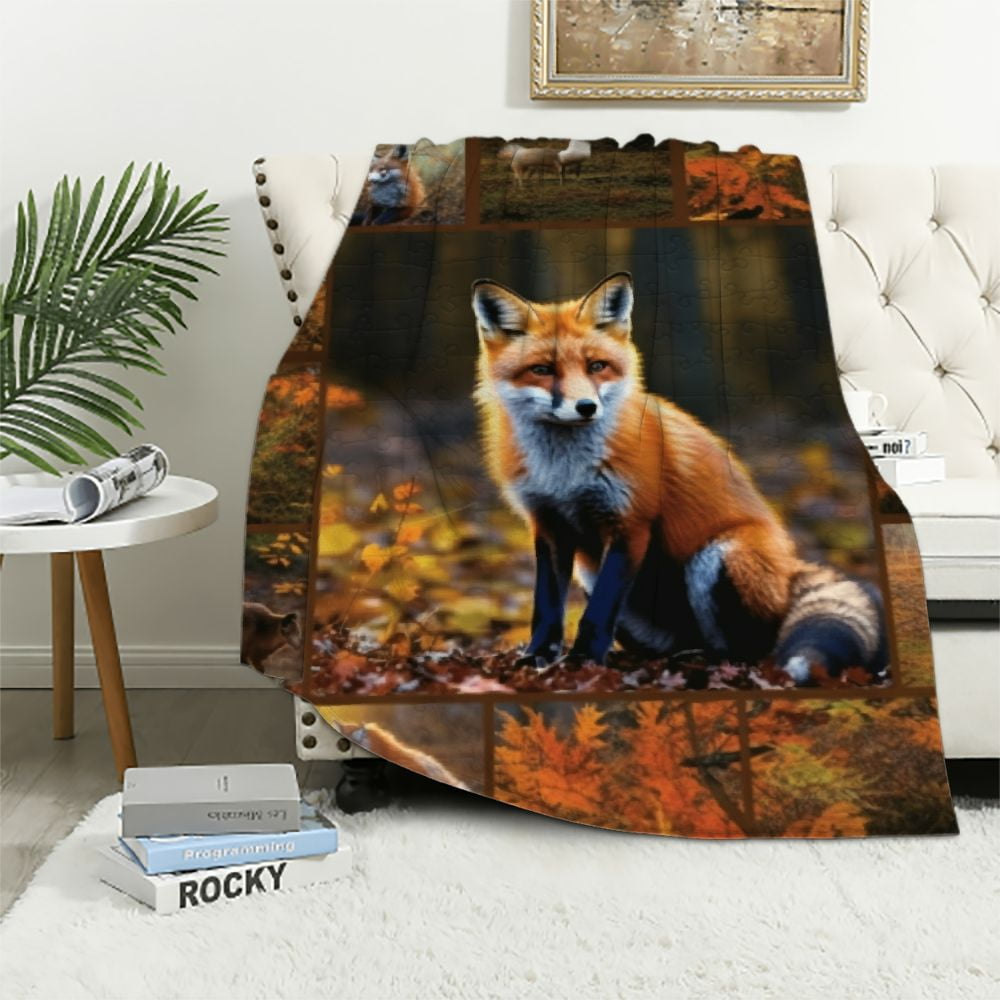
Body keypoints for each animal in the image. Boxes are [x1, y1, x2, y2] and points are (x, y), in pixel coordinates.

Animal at [471, 272, 887, 685]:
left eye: (597, 366)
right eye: (542, 370)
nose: (586, 407)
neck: (565, 472)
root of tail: (791, 570)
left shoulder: (631, 523)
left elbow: (598, 613)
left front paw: (583, 661)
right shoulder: (549, 525)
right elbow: (546, 608)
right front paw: (538, 657)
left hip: (721, 555)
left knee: (752, 647)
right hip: (592, 572)